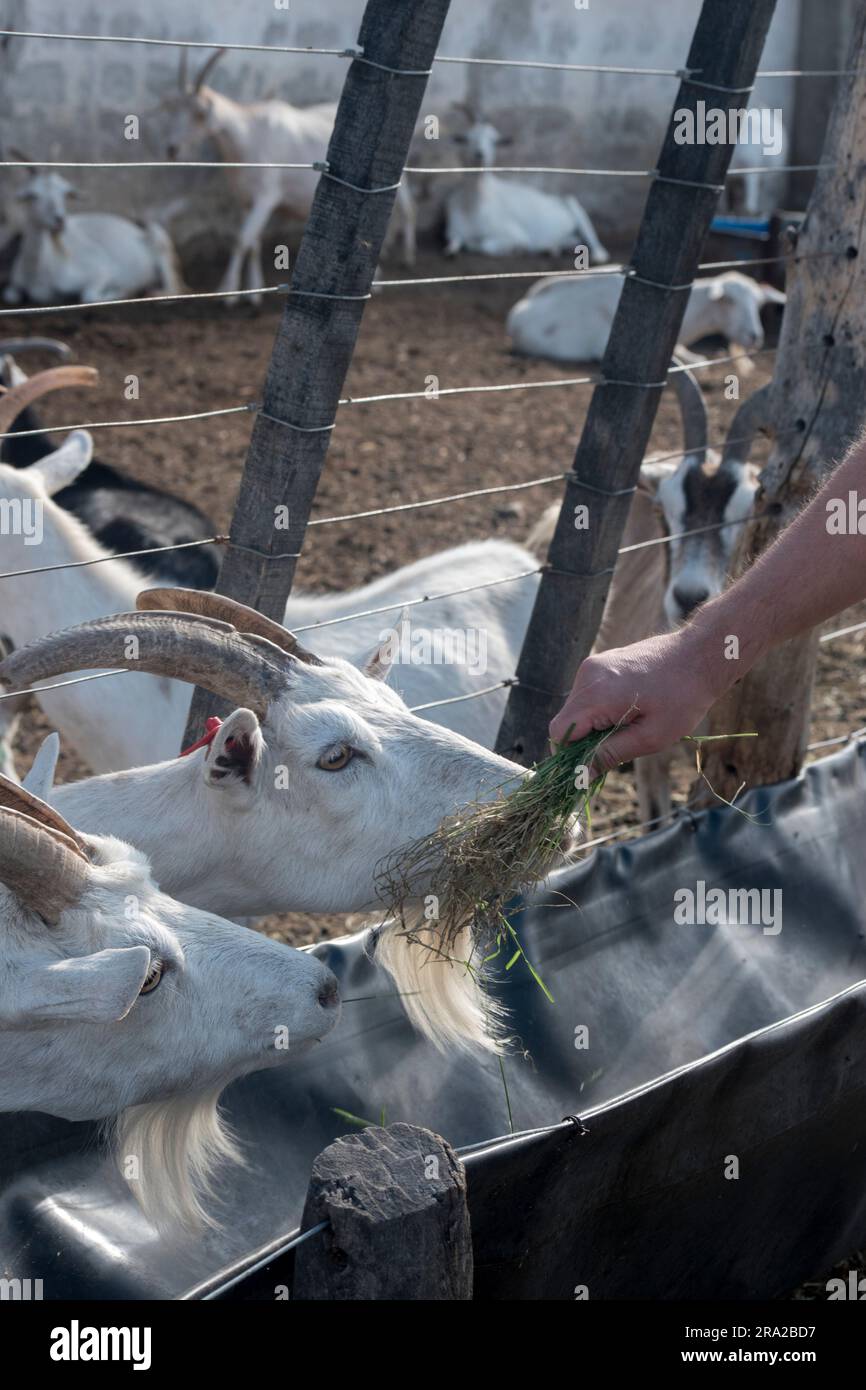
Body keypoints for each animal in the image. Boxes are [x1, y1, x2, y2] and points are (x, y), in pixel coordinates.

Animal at [3, 162, 184, 305]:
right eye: (33, 195)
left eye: (65, 194)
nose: (60, 220)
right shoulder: (14, 285)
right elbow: (10, 295)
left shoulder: (101, 270)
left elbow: (88, 296)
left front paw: (122, 291)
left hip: (159, 238)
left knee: (174, 286)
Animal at [159, 49, 416, 300]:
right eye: (173, 108)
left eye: (199, 113)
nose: (172, 148)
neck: (250, 133)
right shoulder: (244, 198)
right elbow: (252, 241)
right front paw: (252, 291)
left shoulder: (267, 196)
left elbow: (241, 240)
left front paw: (227, 291)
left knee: (406, 209)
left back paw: (400, 261)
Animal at [445, 109, 609, 261]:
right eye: (468, 138)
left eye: (495, 141)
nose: (480, 154)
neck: (473, 203)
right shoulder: (453, 231)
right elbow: (455, 241)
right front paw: (452, 251)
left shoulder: (514, 235)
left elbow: (485, 245)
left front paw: (516, 250)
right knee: (572, 240)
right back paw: (551, 248)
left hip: (572, 204)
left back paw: (599, 255)